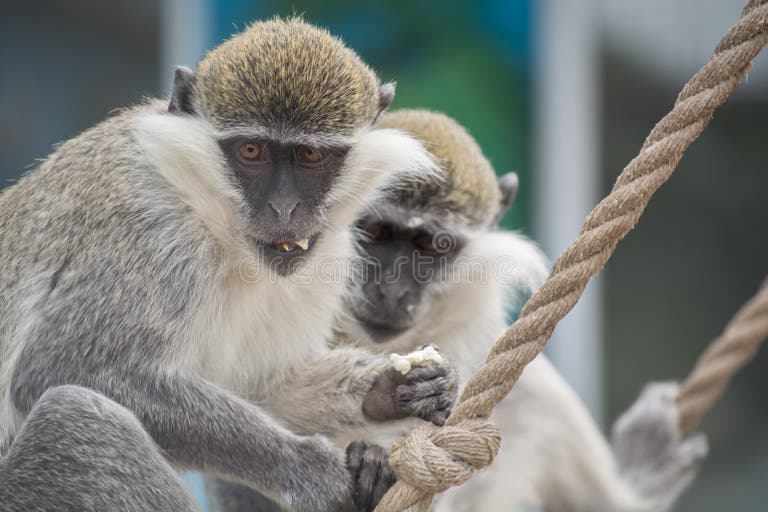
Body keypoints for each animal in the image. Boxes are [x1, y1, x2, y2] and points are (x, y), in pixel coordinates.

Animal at [0, 20, 460, 512]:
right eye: (252, 151)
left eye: (310, 155)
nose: (284, 208)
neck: (212, 217)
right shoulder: (151, 233)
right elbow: (58, 367)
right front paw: (308, 467)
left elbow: (260, 386)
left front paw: (392, 390)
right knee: (75, 418)